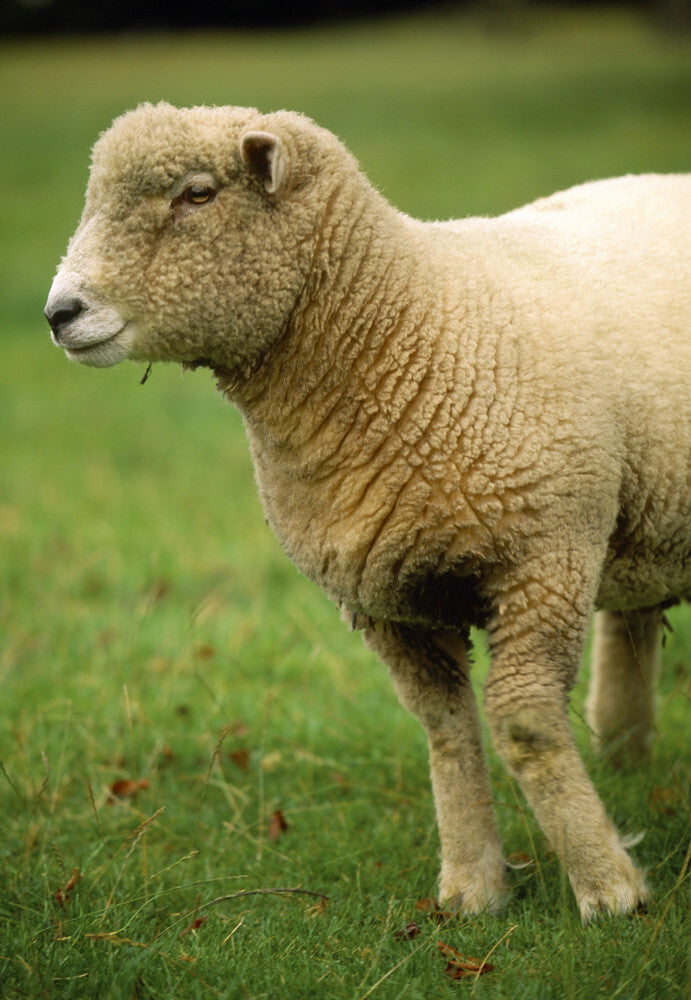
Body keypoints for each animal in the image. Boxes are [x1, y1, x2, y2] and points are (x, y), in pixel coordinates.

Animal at [44, 102, 690, 922]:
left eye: (196, 194)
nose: (59, 313)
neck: (405, 328)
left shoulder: (544, 555)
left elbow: (523, 726)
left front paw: (607, 889)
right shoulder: (387, 598)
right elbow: (447, 730)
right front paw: (473, 887)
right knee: (632, 623)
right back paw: (624, 754)